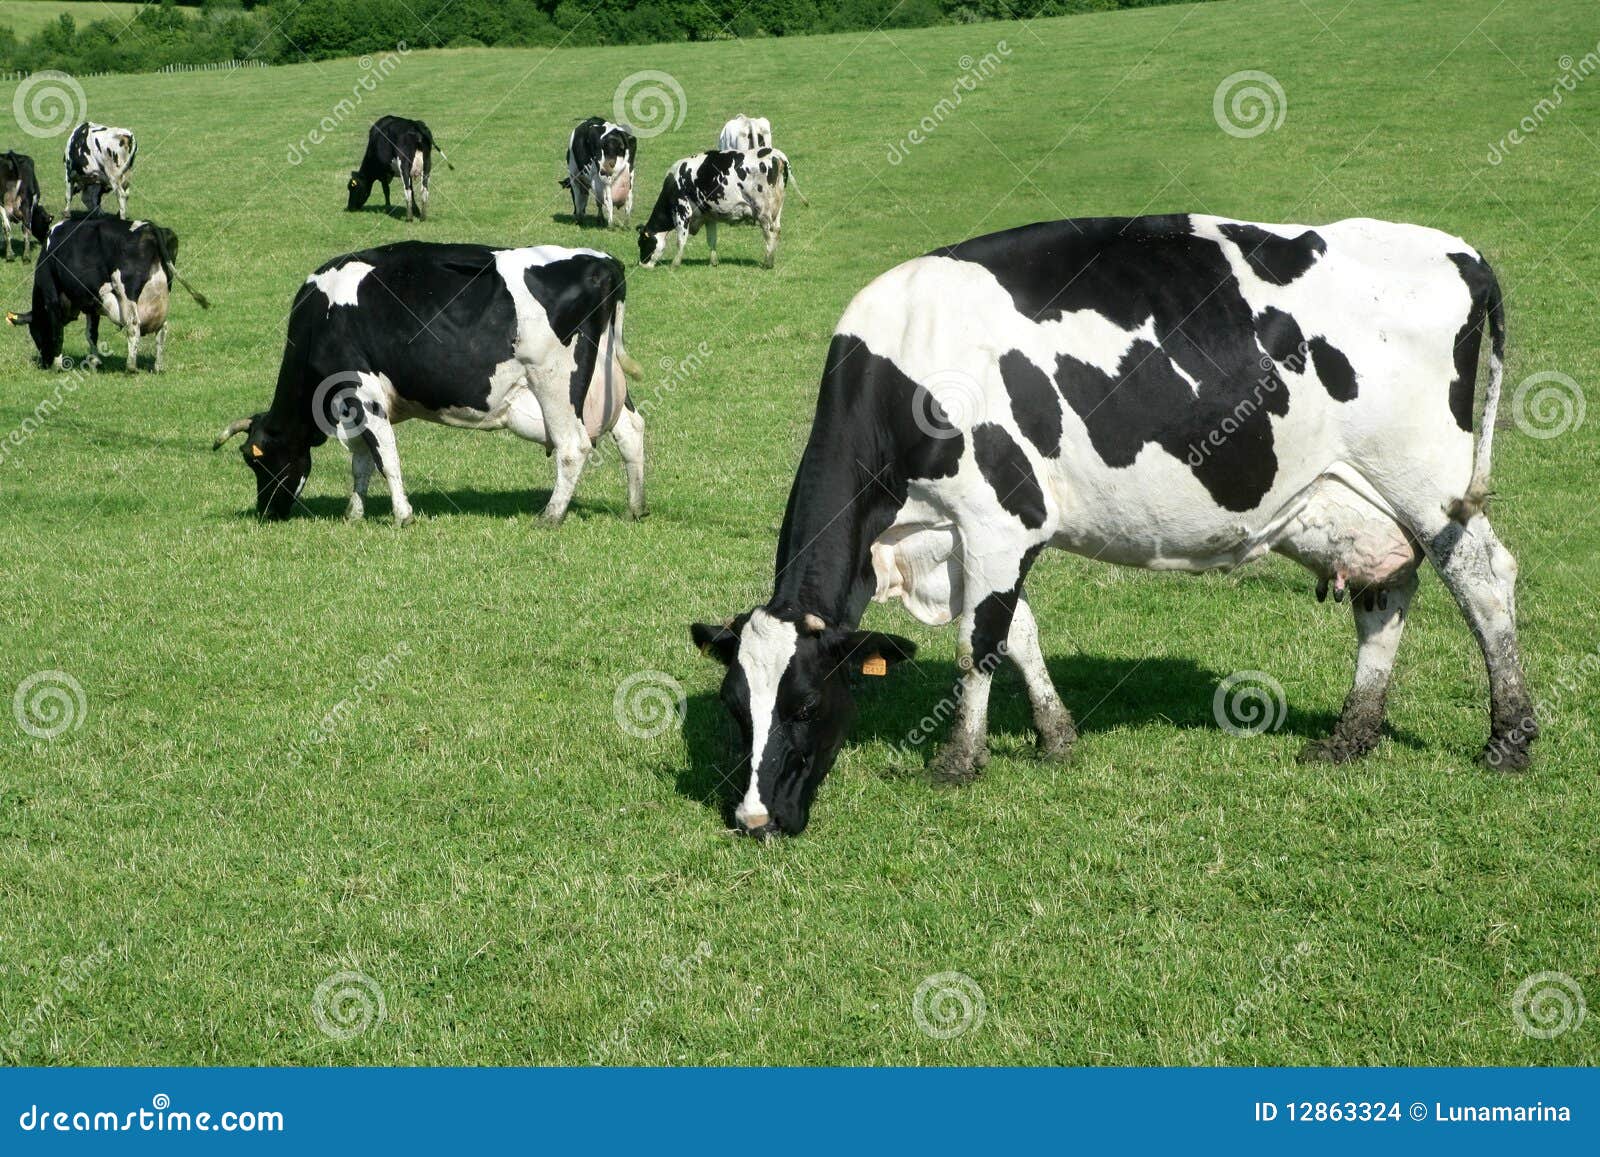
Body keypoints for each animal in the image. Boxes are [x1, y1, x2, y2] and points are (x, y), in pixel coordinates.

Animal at [7, 213, 209, 372]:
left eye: (35, 331)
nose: (44, 363)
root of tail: (148, 226)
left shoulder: (51, 297)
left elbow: (58, 332)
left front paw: (58, 365)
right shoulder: (91, 302)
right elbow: (91, 333)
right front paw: (95, 361)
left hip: (127, 290)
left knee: (133, 325)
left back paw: (131, 367)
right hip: (163, 289)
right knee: (163, 327)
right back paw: (157, 366)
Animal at [213, 241, 646, 526]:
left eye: (256, 459)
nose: (266, 512)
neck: (320, 318)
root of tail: (603, 263)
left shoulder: (362, 391)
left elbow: (384, 456)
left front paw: (402, 515)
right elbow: (360, 460)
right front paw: (354, 513)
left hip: (553, 381)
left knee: (573, 447)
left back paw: (551, 516)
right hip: (606, 380)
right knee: (631, 431)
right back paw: (636, 507)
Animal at [637, 149, 790, 270]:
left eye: (641, 243)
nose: (642, 265)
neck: (673, 182)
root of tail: (775, 153)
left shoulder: (682, 210)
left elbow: (681, 239)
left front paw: (675, 264)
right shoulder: (709, 216)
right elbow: (711, 239)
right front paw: (713, 262)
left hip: (763, 211)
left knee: (769, 234)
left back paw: (767, 263)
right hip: (777, 210)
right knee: (777, 231)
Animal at [691, 213, 1537, 837]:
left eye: (804, 706)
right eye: (734, 707)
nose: (755, 819)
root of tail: (1458, 250)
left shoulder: (1000, 518)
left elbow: (978, 644)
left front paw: (959, 761)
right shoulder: (968, 538)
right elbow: (1020, 634)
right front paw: (1056, 736)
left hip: (1428, 482)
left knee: (1484, 579)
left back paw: (1510, 737)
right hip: (1358, 501)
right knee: (1386, 594)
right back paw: (1351, 736)